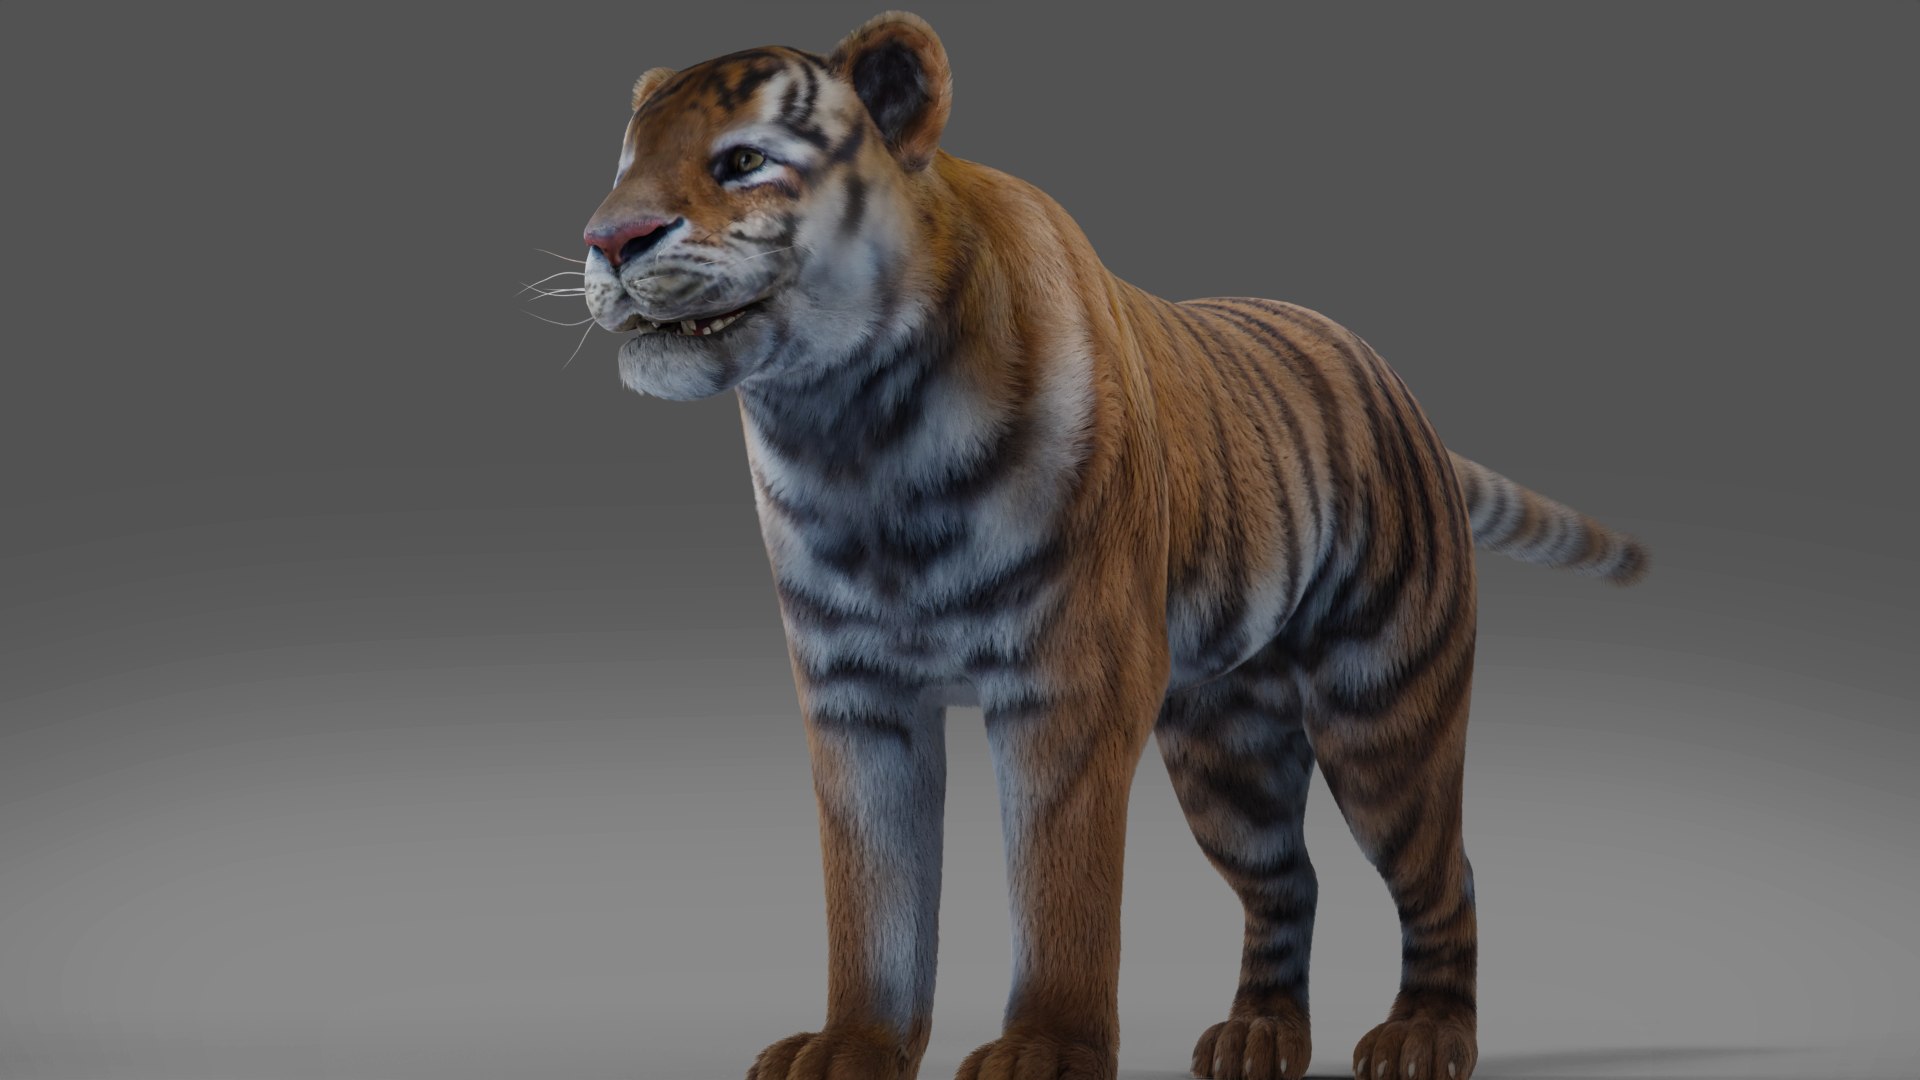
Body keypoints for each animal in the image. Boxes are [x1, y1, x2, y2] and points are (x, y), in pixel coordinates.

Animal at [578, 12, 1648, 1080]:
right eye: (624, 167)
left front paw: (1043, 1048)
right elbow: (871, 892)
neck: (849, 433)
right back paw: (1259, 1036)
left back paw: (1424, 1035)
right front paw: (853, 1046)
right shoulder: (855, 697)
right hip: (1227, 746)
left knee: (1443, 874)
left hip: (1384, 713)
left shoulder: (1068, 683)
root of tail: (1400, 391)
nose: (609, 238)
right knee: (1287, 880)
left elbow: (1062, 885)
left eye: (742, 161)